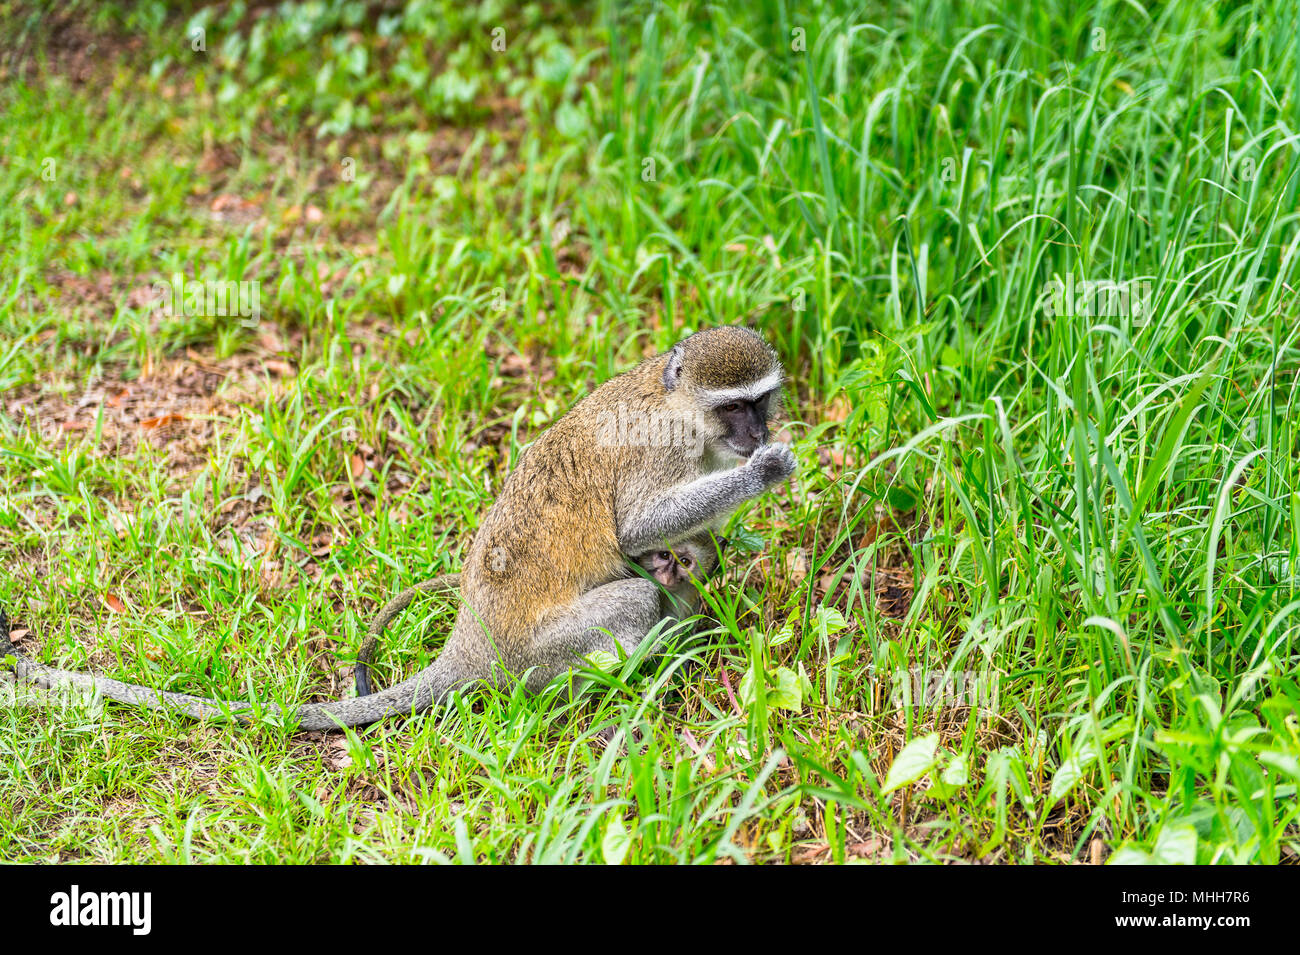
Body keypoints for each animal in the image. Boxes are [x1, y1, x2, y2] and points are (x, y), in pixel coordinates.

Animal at [1, 326, 794, 731]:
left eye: (762, 401)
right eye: (734, 409)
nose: (757, 436)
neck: (684, 411)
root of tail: (472, 641)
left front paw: (708, 546)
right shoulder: (662, 450)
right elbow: (632, 527)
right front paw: (766, 474)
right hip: (533, 652)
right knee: (623, 606)